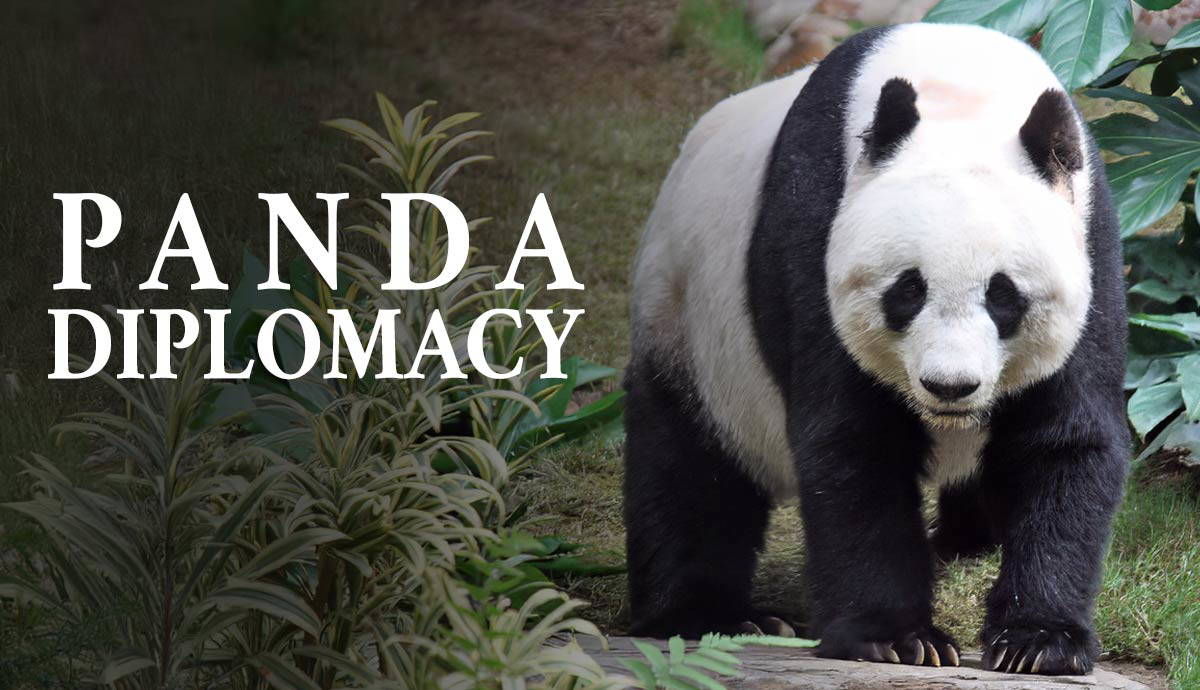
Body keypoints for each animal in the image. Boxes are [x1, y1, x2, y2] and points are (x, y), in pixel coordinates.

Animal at [623, 23, 1129, 676]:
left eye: (1003, 296)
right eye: (908, 291)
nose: (950, 386)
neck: (961, 90)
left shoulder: (1090, 245)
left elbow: (1063, 441)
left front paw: (1038, 642)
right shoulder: (815, 229)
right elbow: (857, 443)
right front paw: (897, 638)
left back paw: (961, 542)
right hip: (688, 319)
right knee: (689, 467)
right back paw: (713, 616)